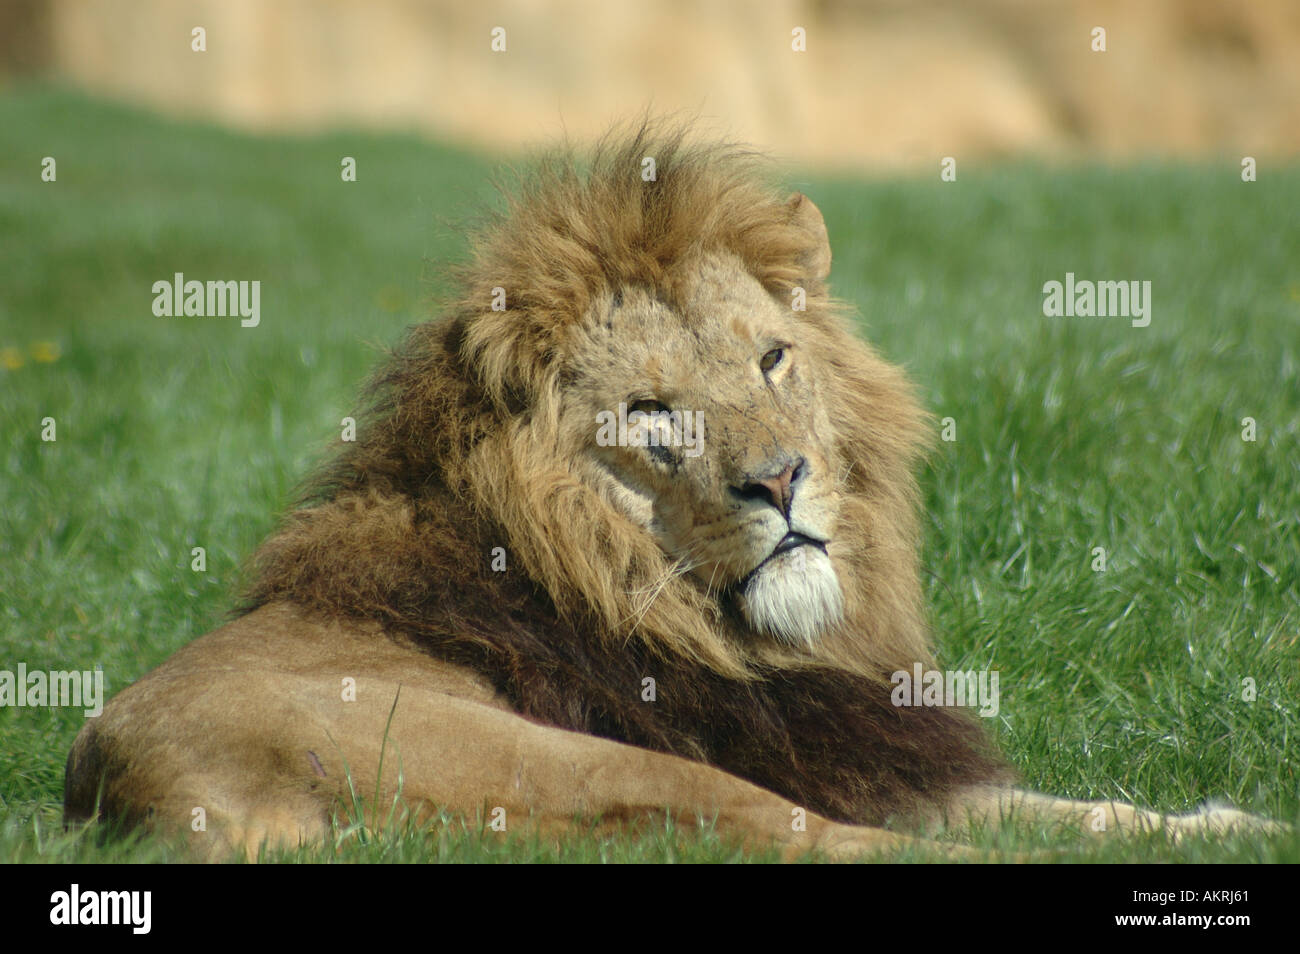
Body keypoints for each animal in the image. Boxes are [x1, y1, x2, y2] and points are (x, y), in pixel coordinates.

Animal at [64, 122, 1272, 860]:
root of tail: (141, 790)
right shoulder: (806, 755)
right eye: (652, 413)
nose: (779, 481)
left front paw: (1227, 823)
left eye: (772, 361)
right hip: (570, 761)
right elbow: (1010, 821)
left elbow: (1073, 807)